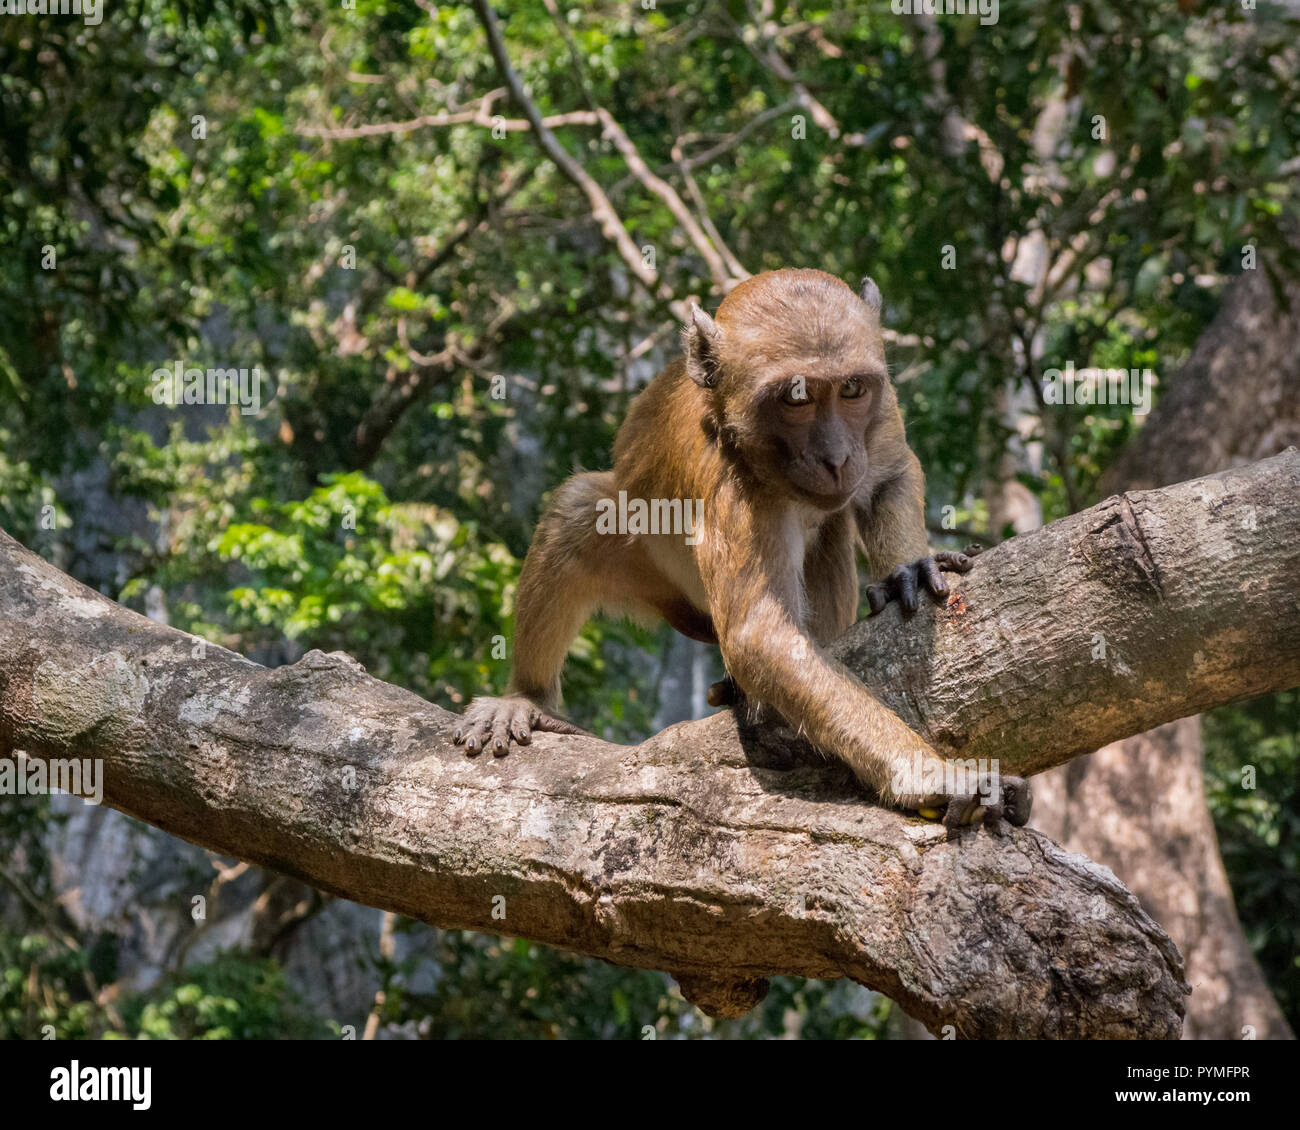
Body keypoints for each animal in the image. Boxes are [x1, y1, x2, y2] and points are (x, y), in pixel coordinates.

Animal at [454, 269, 1031, 831]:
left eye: (851, 389)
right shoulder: (735, 486)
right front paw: (928, 774)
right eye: (796, 398)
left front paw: (905, 569)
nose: (837, 458)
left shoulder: (879, 407)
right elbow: (762, 636)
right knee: (577, 513)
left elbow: (891, 474)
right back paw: (527, 697)